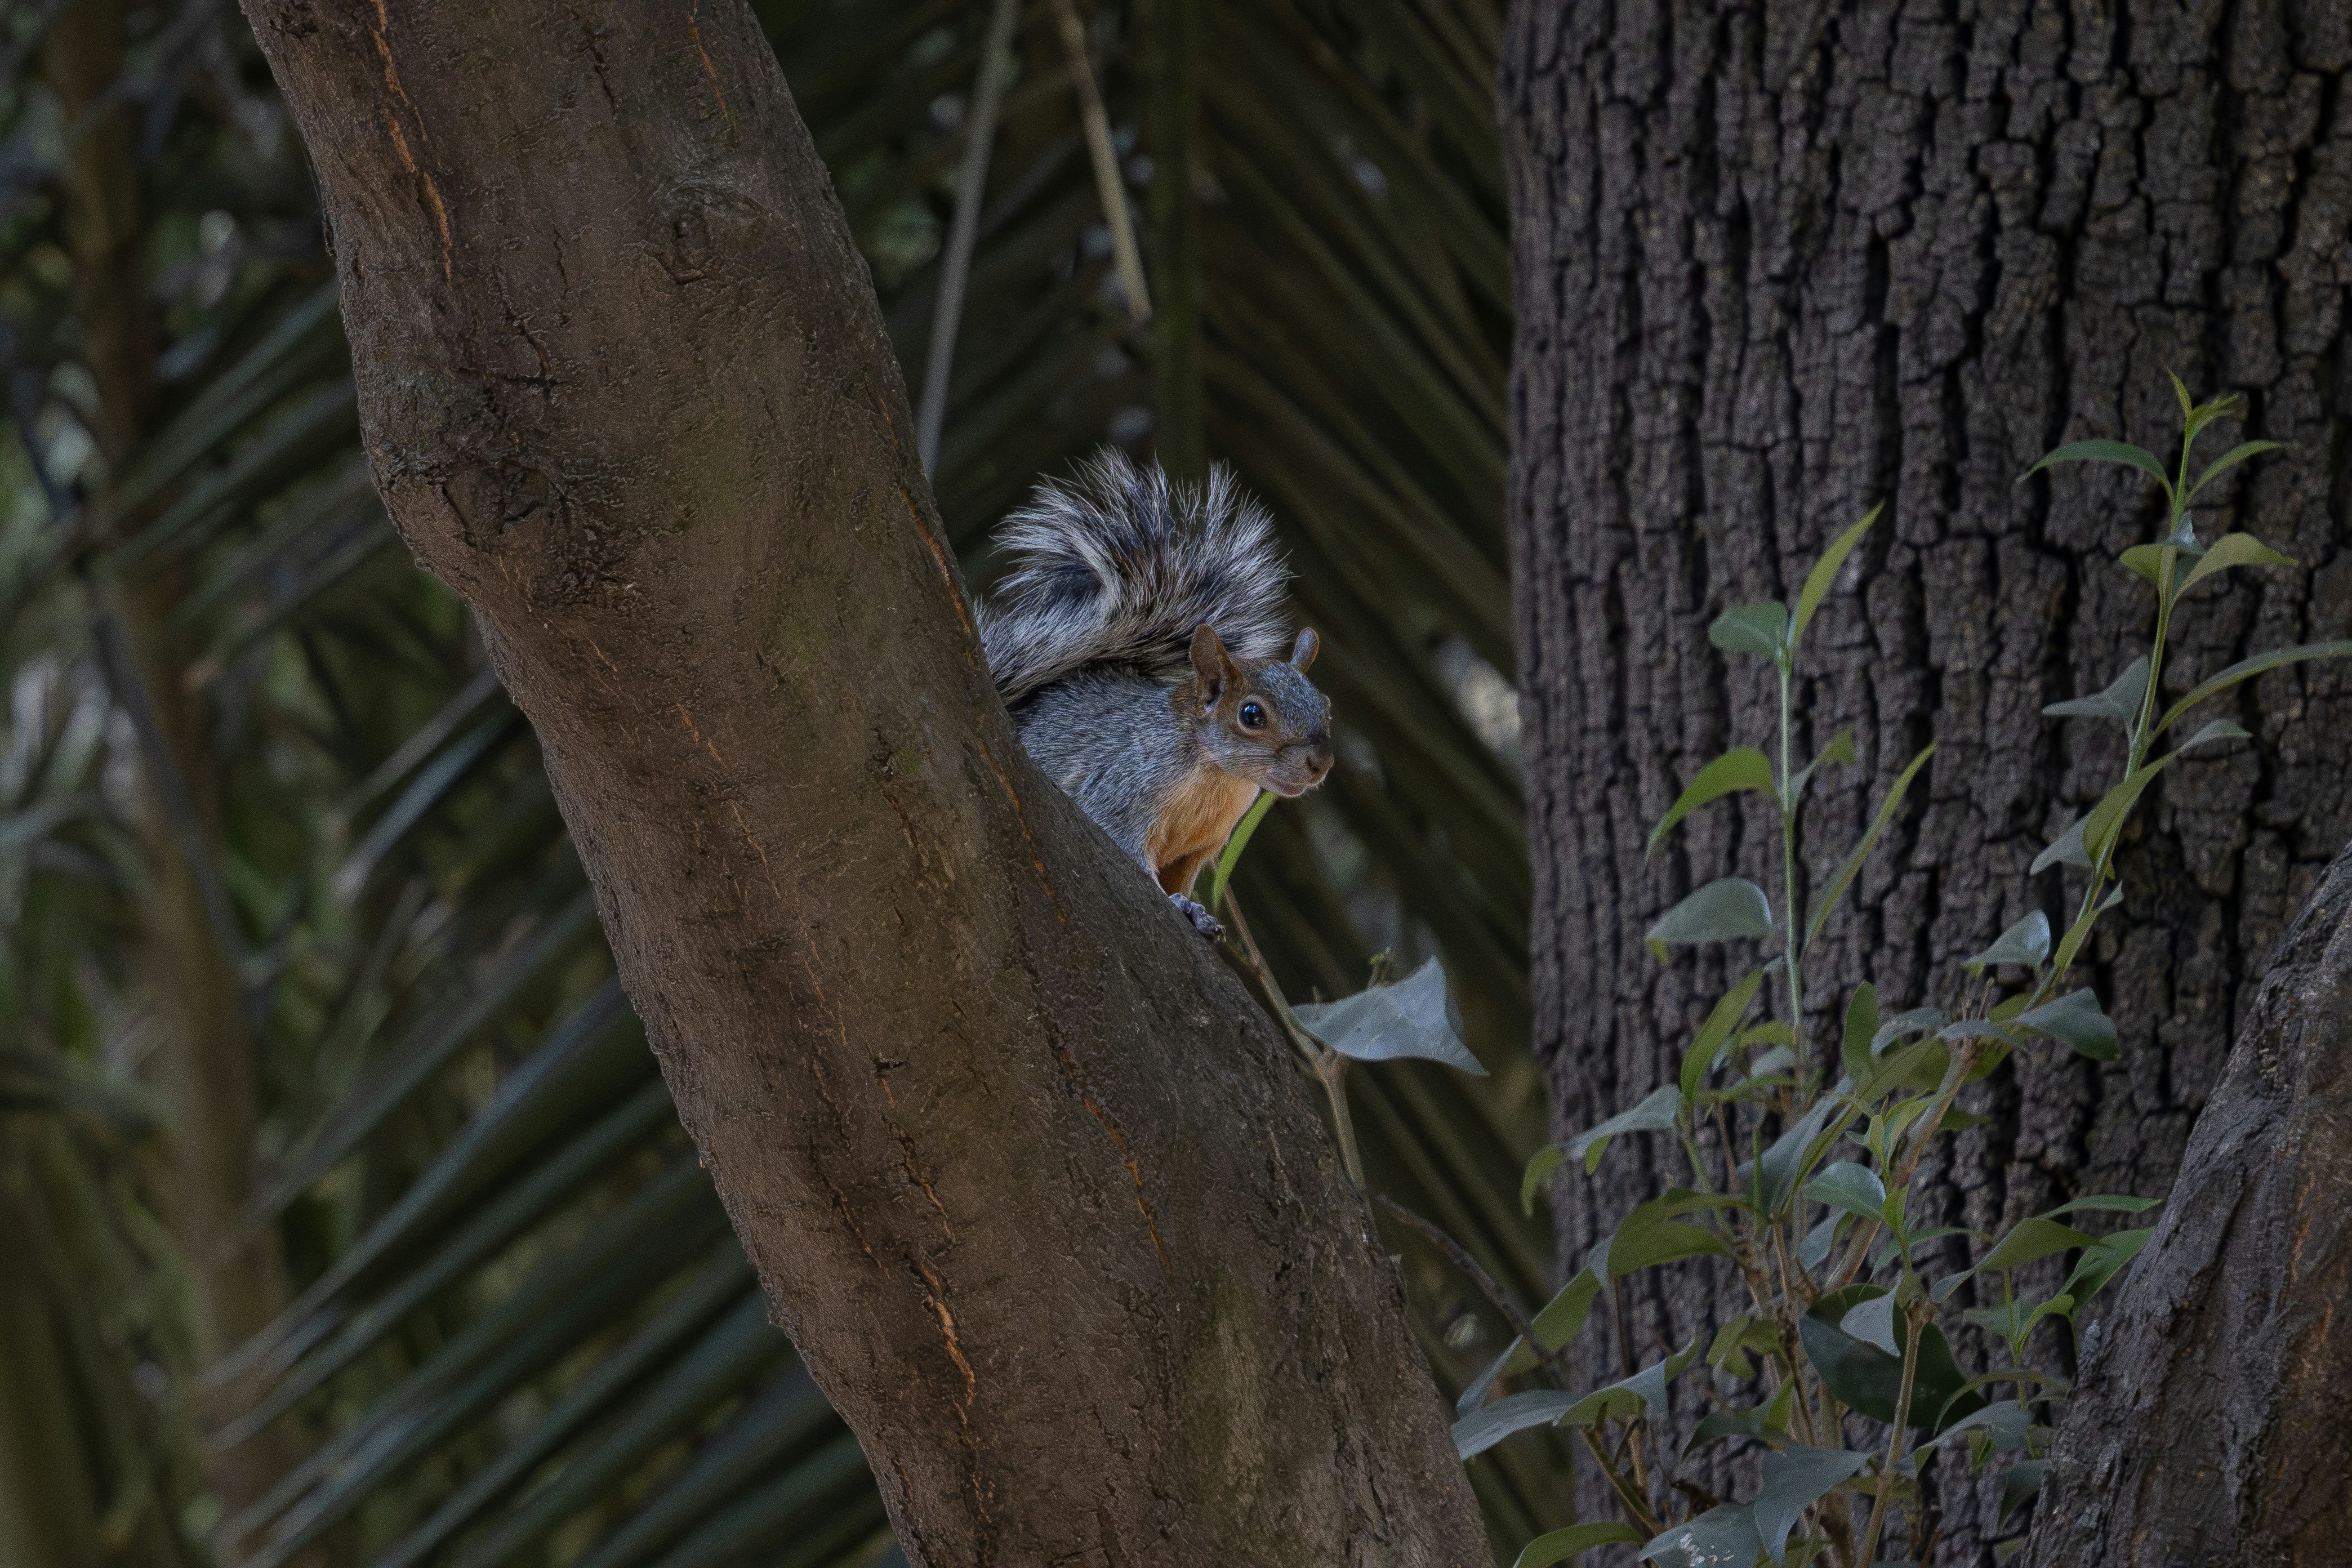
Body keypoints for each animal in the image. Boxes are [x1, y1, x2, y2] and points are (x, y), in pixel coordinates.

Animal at [976, 450, 1334, 937]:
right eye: (1251, 715)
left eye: (1327, 709)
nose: (1320, 763)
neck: (1217, 778)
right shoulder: (1124, 787)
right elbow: (1126, 844)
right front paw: (1180, 905)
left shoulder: (1198, 848)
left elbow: (1179, 876)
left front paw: (1193, 906)